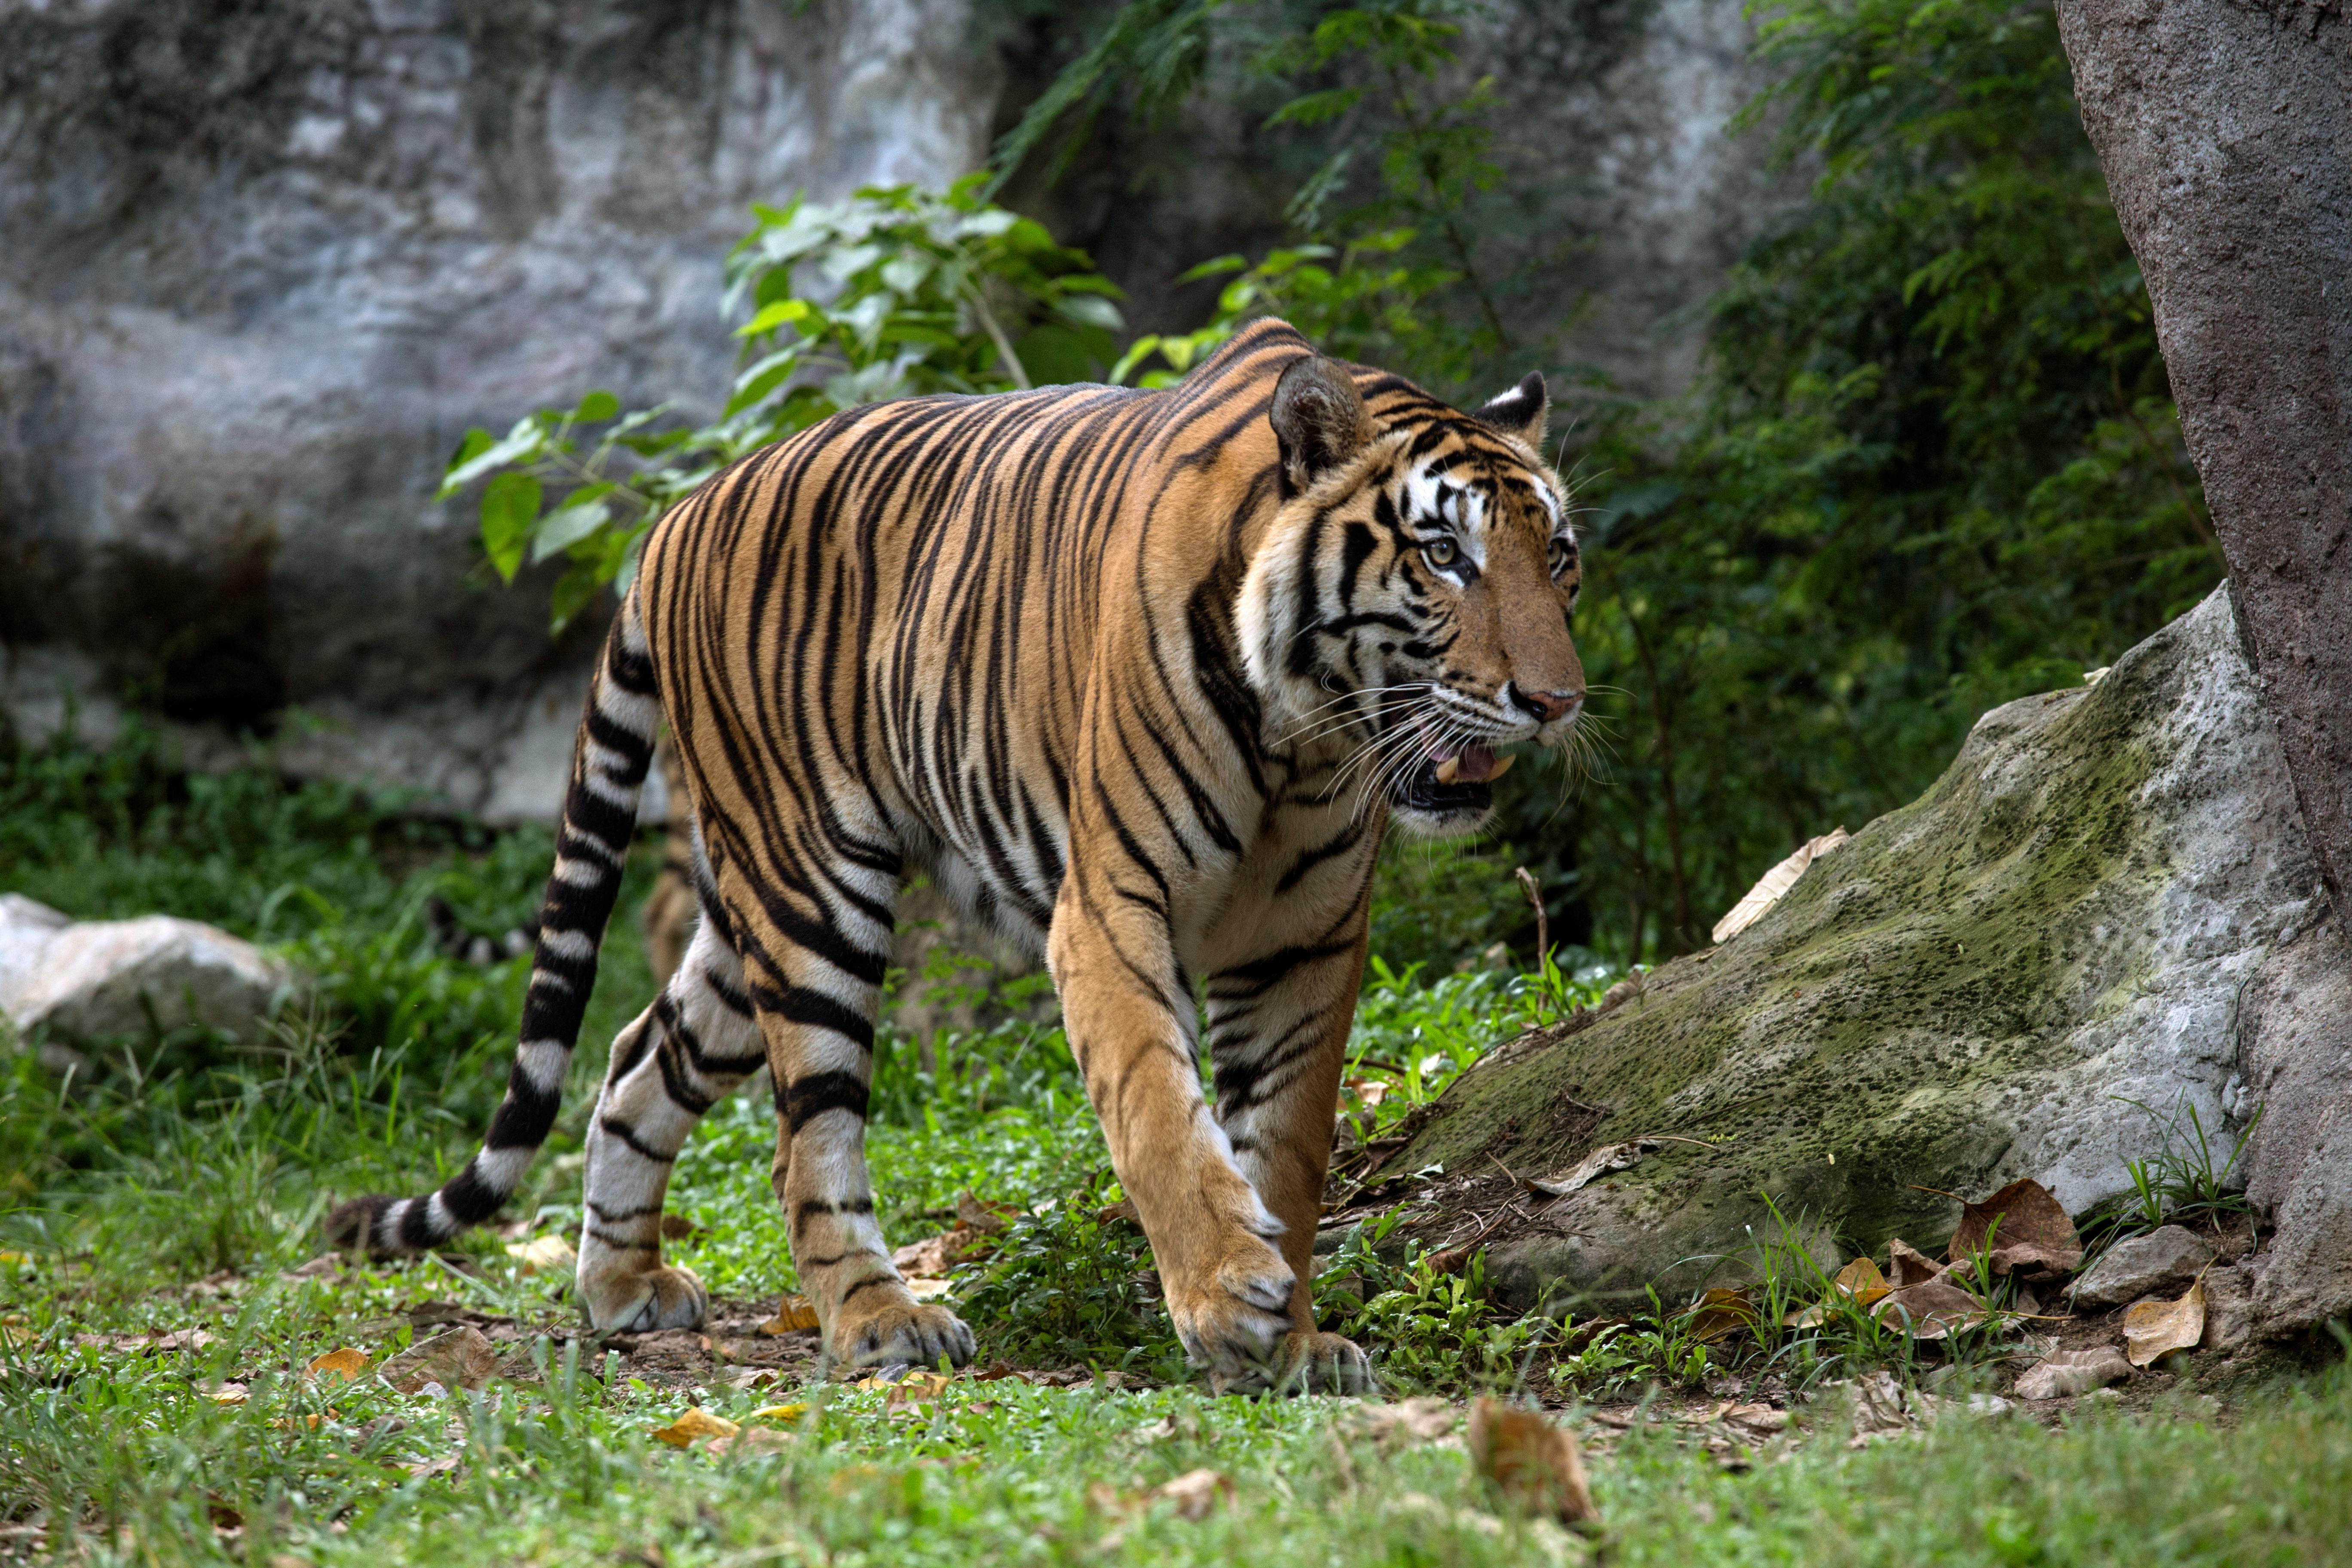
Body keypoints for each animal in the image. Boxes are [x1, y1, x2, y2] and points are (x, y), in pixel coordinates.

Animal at [329, 319, 1587, 1392]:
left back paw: (620, 1289)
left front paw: (1291, 1338)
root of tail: (677, 514)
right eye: (1444, 555)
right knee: (806, 1139)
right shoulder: (1109, 909)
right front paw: (1231, 1295)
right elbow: (1158, 1112)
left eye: (1560, 560)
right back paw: (879, 1320)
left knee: (639, 1056)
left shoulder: (1307, 942)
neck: (1306, 745)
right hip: (812, 890)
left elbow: (1286, 1143)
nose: (1556, 702)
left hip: (744, 919)